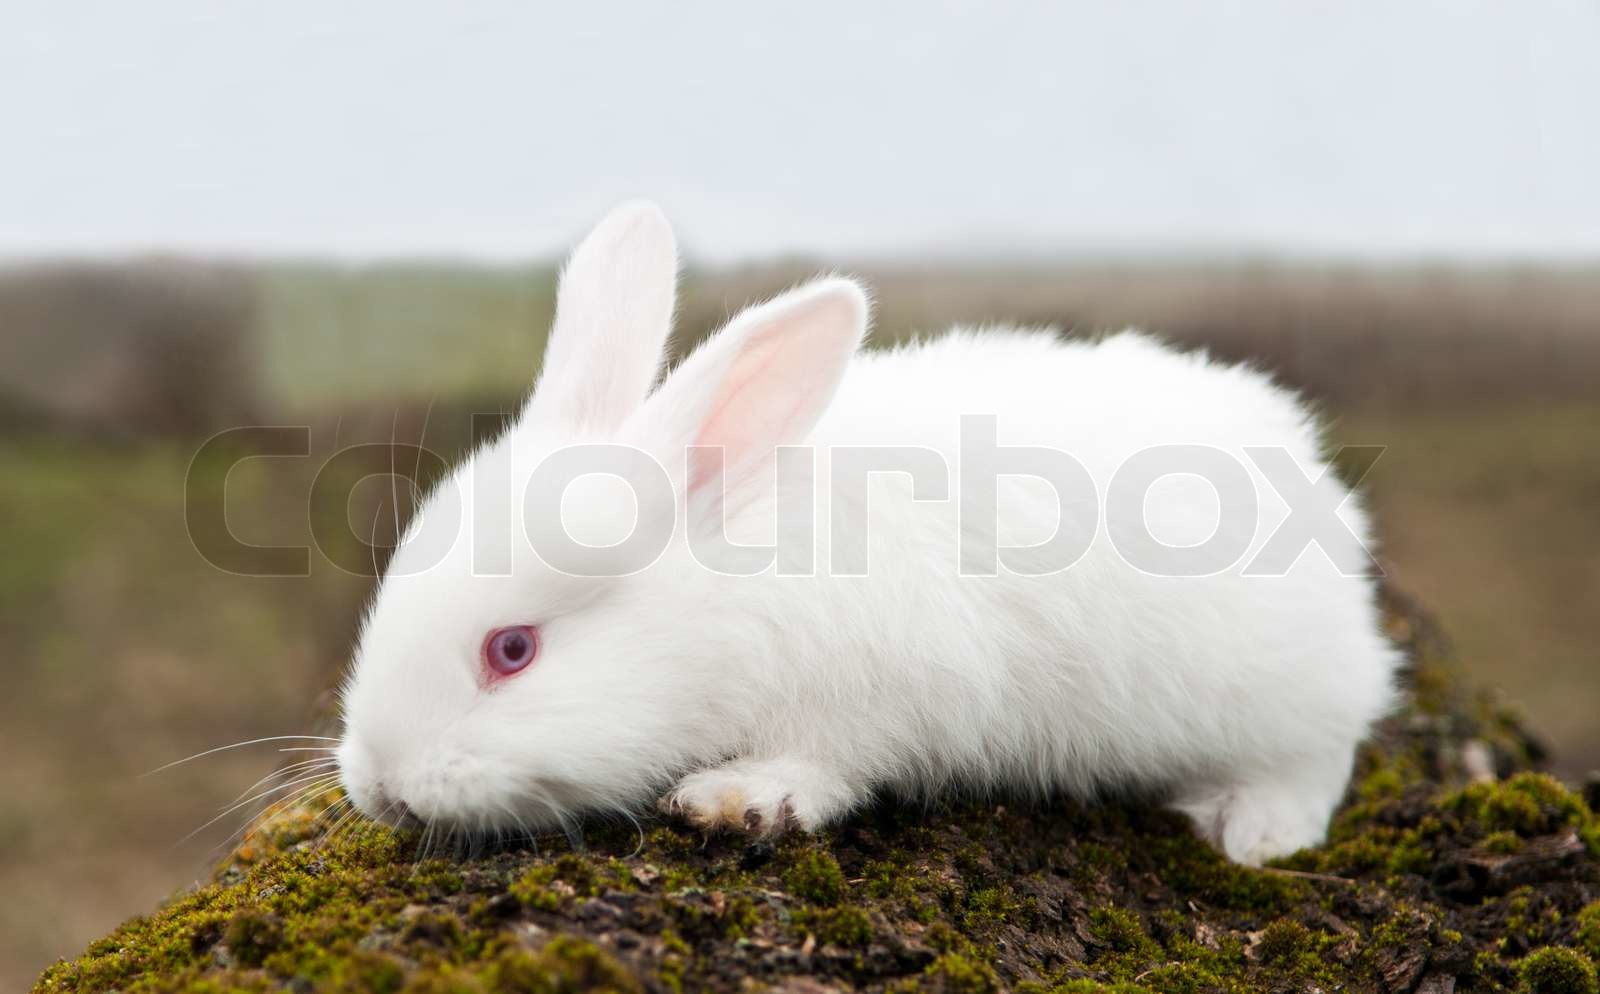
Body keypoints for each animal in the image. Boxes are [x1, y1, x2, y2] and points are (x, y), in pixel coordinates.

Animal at [336, 201, 1400, 866]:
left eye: (512, 651)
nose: (382, 786)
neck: (725, 588)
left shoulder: (877, 696)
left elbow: (823, 768)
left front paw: (732, 800)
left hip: (1282, 695)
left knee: (1319, 756)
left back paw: (1251, 830)